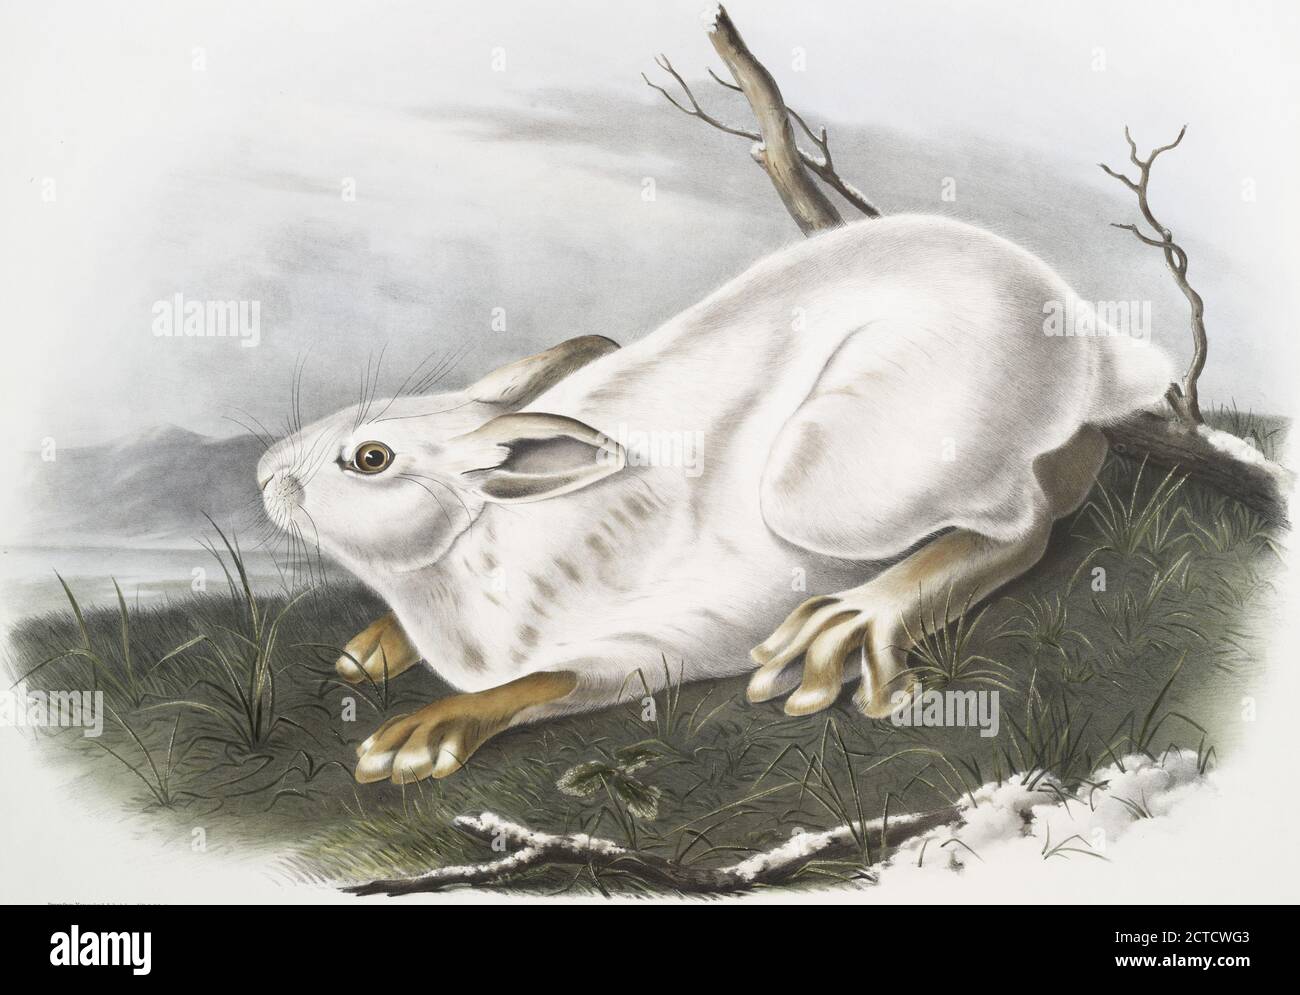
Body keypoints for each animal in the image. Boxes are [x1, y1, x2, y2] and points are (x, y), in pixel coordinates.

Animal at [258, 214, 1172, 784]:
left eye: (369, 458)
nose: (265, 472)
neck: (479, 542)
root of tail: (1089, 340)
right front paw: (372, 651)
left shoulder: (670, 636)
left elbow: (552, 679)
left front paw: (418, 739)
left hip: (831, 484)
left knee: (1027, 519)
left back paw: (845, 625)